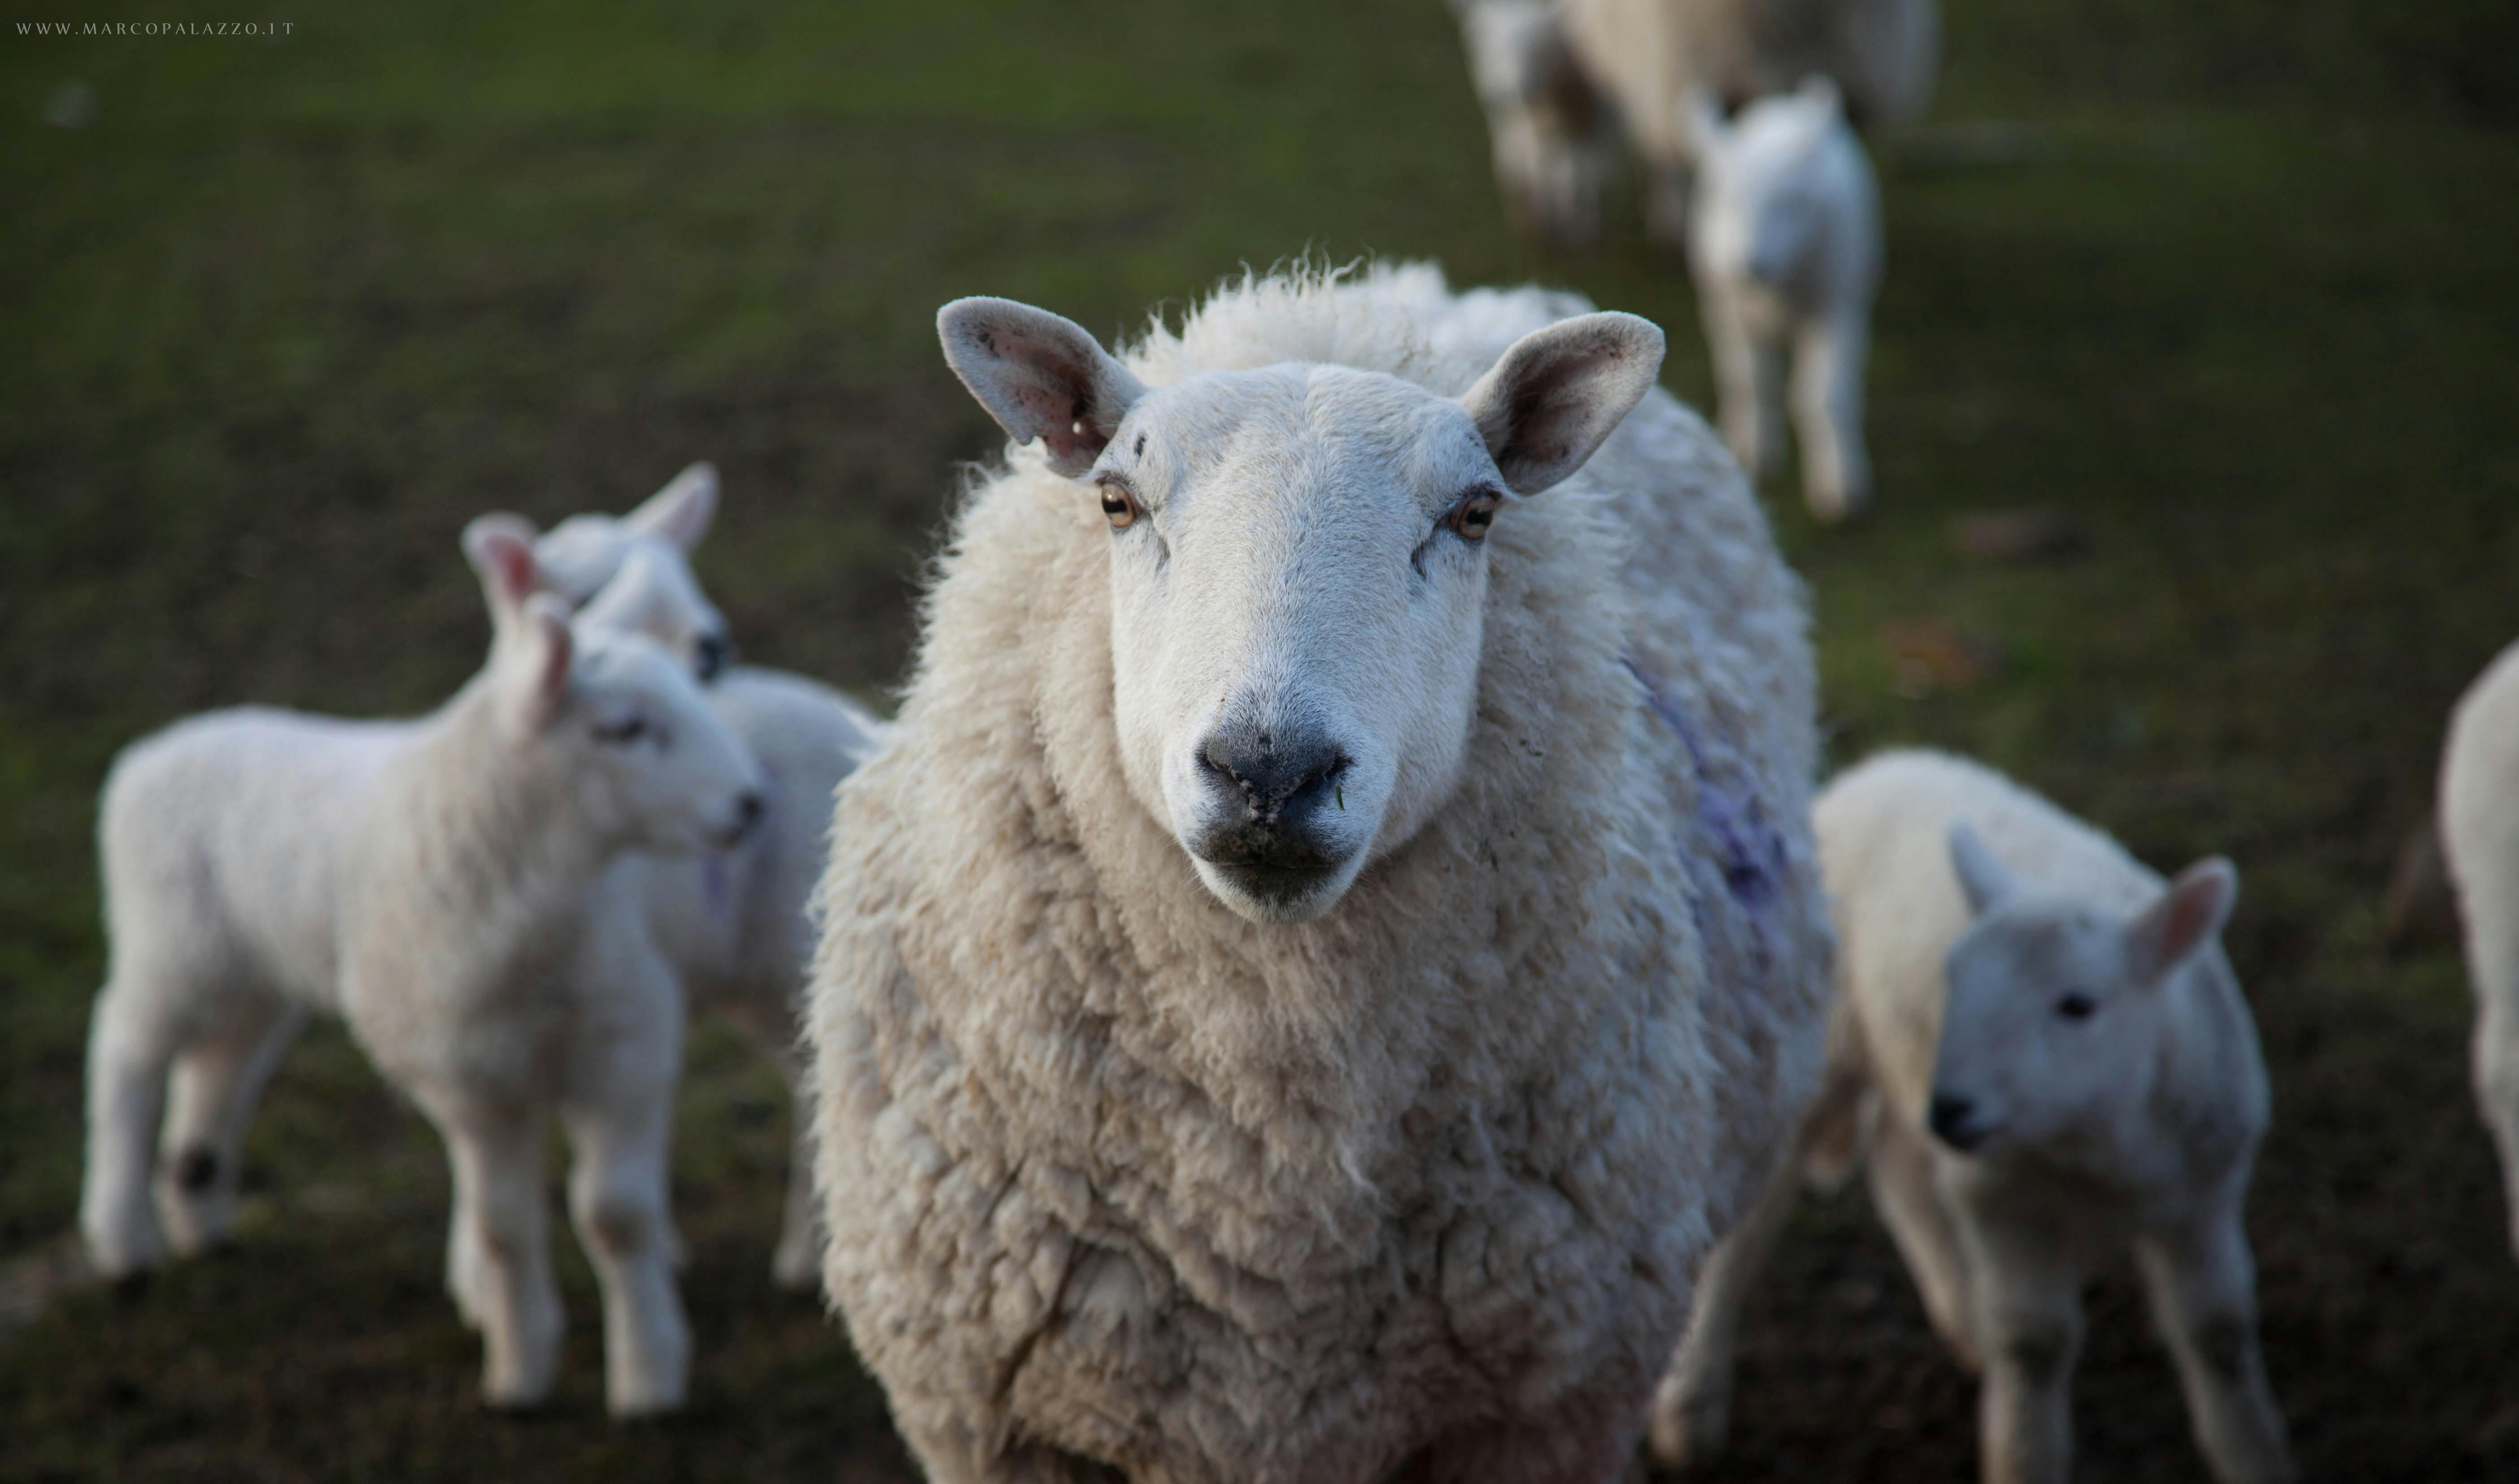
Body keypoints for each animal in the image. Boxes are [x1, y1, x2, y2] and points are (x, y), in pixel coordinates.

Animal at [79, 519, 767, 1415]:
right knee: (125, 1055)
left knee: (220, 1063)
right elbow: (508, 1223)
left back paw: (198, 1205)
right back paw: (124, 1238)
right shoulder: (477, 1062)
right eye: (624, 728)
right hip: (172, 948)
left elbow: (598, 1213)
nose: (752, 802)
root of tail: (151, 749)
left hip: (252, 975)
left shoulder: (610, 1043)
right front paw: (533, 1358)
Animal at [805, 262, 1831, 1483]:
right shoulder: (988, 1418)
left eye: (1474, 513)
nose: (1269, 770)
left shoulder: (1549, 1409)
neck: (1272, 1177)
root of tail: (1448, 287)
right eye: (1117, 502)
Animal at [1651, 749, 2294, 1484]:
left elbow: (2220, 1332)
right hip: (1813, 1052)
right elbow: (2035, 1342)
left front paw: (2255, 1455)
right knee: (1746, 1229)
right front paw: (2024, 1454)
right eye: (1954, 976)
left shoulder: (2207, 1194)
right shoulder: (2003, 1197)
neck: (2095, 1146)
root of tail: (1880, 766)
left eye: (2079, 1005)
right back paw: (1691, 1406)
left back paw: (1964, 1318)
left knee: (1898, 1162)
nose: (1951, 1105)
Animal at [1683, 77, 1880, 521]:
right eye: (1729, 200)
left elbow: (1824, 397)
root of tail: (1783, 106)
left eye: (1791, 202)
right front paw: (1757, 456)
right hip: (1718, 305)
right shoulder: (1736, 310)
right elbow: (1755, 380)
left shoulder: (1832, 309)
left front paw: (1838, 486)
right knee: (1736, 370)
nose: (1750, 265)